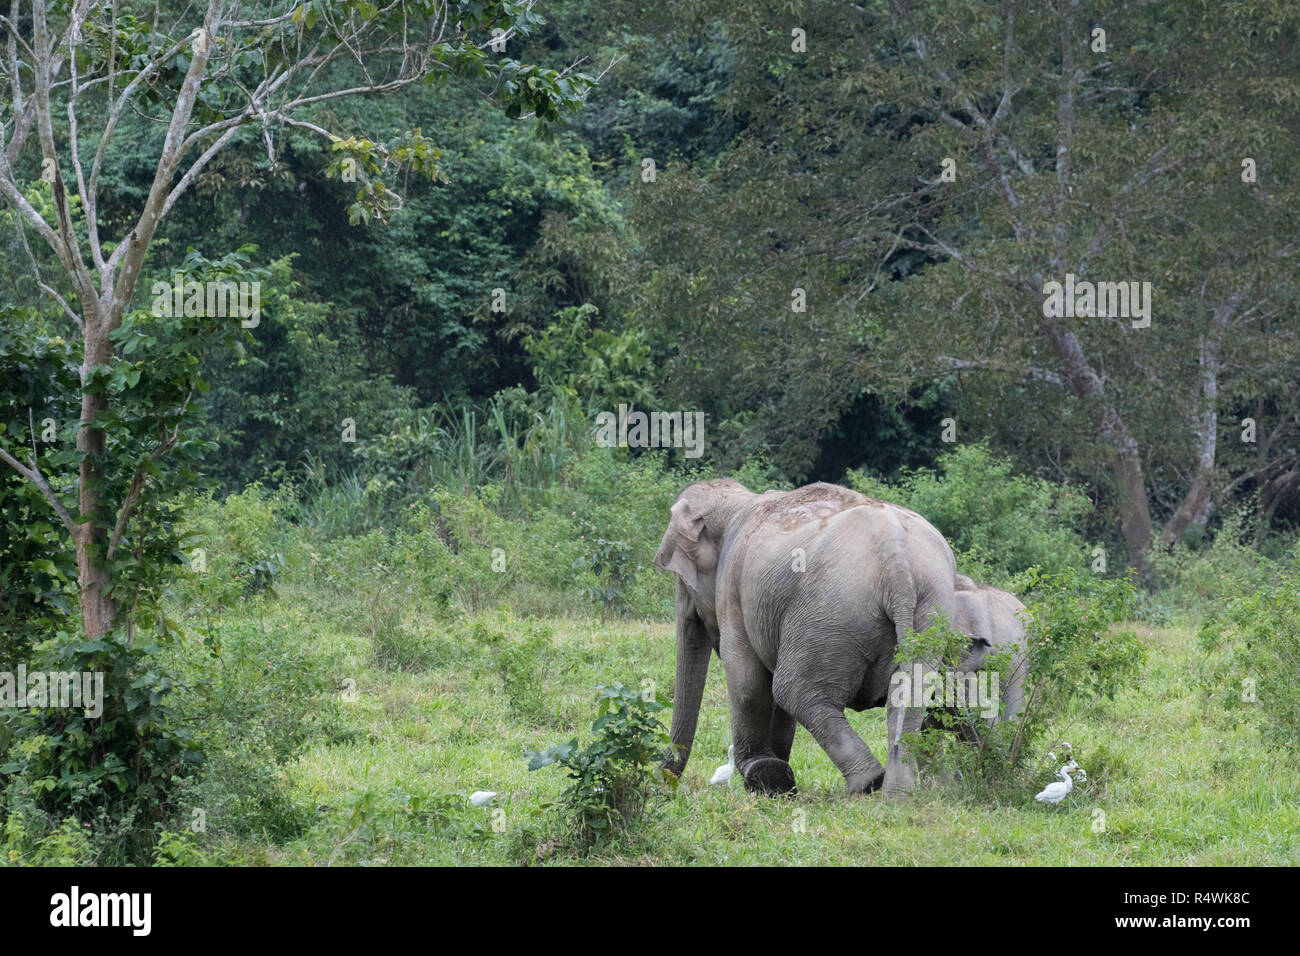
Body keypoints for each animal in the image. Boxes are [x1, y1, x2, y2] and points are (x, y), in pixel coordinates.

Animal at [653, 479, 957, 797]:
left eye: (680, 578)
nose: (664, 782)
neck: (739, 500)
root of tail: (896, 561)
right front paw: (777, 775)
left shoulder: (733, 588)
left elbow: (748, 681)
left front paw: (763, 775)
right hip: (930, 611)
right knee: (911, 695)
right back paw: (899, 794)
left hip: (828, 613)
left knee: (793, 688)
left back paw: (868, 783)